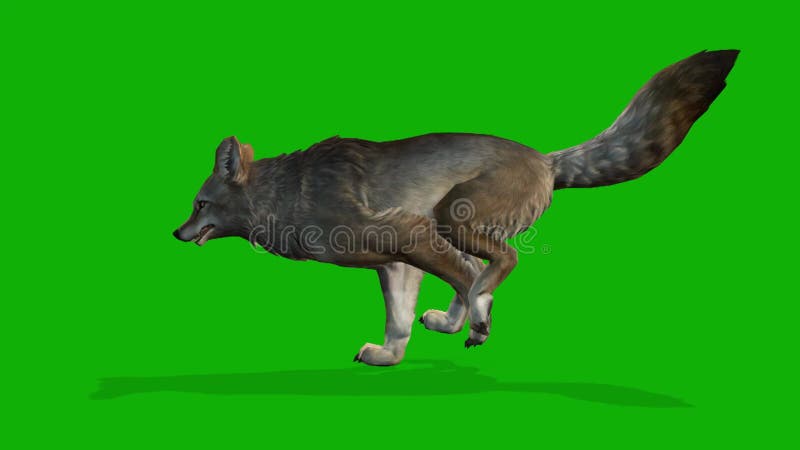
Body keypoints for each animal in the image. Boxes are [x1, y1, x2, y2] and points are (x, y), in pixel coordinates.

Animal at [174, 50, 738, 366]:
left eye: (200, 203)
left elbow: (466, 283)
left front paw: (478, 323)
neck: (289, 192)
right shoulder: (397, 260)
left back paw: (472, 316)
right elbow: (401, 319)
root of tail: (546, 159)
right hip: (449, 228)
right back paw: (451, 323)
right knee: (477, 271)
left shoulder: (407, 236)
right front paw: (391, 357)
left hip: (453, 217)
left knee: (501, 262)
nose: (176, 233)